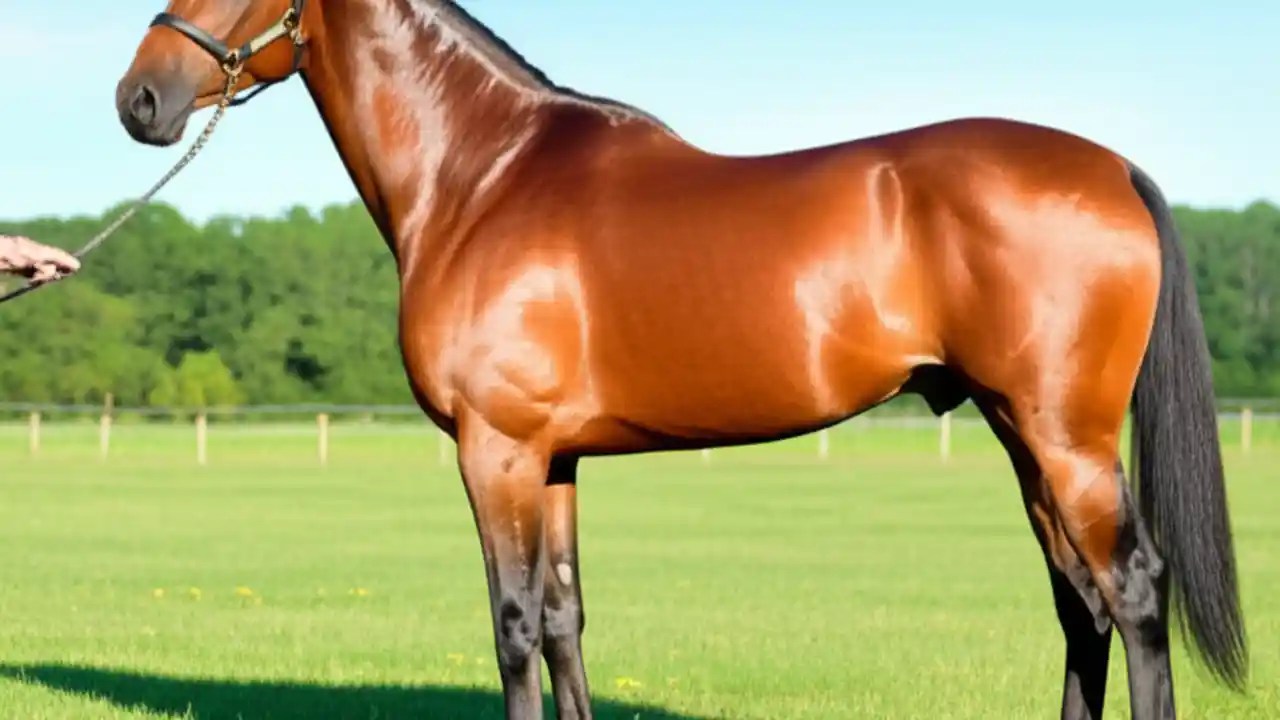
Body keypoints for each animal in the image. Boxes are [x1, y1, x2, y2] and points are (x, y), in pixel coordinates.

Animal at [114, 1, 1247, 718]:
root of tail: (1111, 168)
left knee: (1131, 594)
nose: (140, 100)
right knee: (1079, 607)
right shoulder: (554, 459)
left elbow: (512, 624)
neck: (482, 175)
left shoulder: (495, 451)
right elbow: (564, 619)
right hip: (1022, 435)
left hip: (1065, 440)